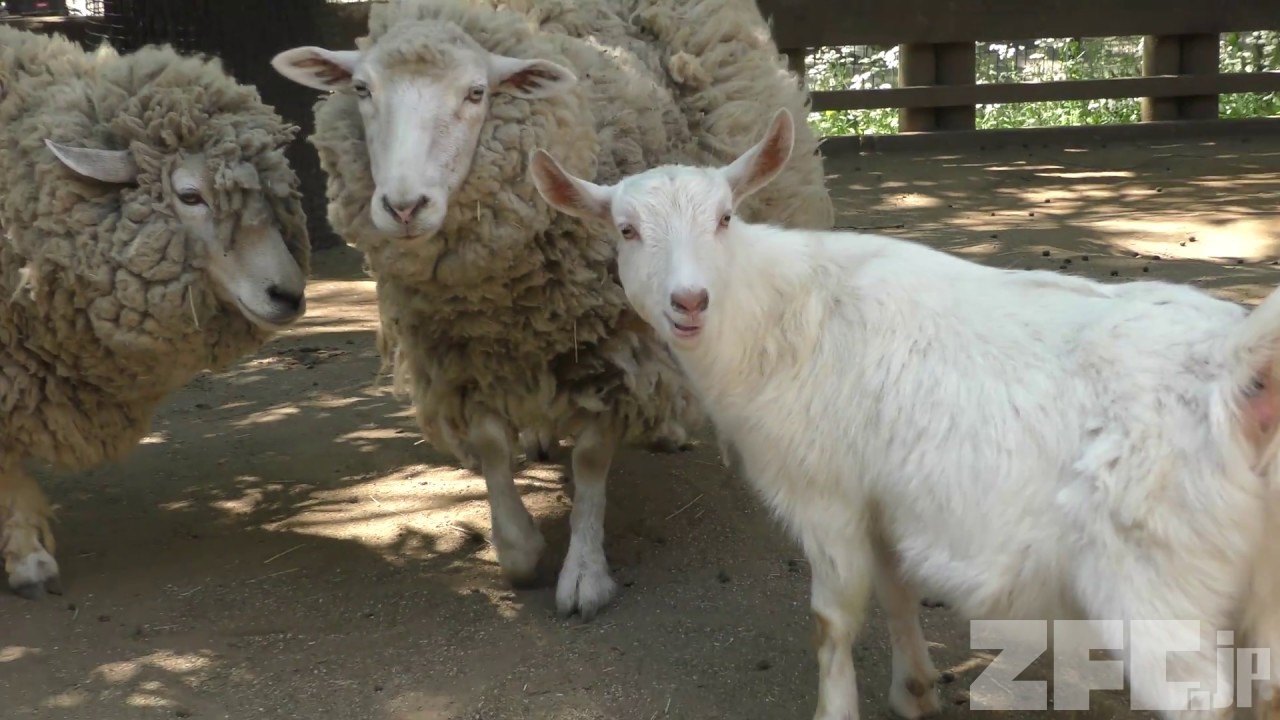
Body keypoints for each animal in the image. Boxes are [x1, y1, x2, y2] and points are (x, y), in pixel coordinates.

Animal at [269, 0, 833, 618]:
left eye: (476, 92)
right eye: (363, 89)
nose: (403, 206)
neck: (496, 301)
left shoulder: (615, 350)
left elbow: (590, 462)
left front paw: (584, 575)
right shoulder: (465, 356)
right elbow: (493, 448)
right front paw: (520, 549)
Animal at [529, 107, 1280, 720]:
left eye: (724, 218)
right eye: (626, 230)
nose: (689, 301)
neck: (776, 312)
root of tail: (1236, 365)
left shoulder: (824, 493)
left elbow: (832, 620)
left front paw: (837, 710)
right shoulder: (881, 497)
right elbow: (896, 589)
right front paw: (914, 689)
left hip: (1156, 581)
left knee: (1200, 694)